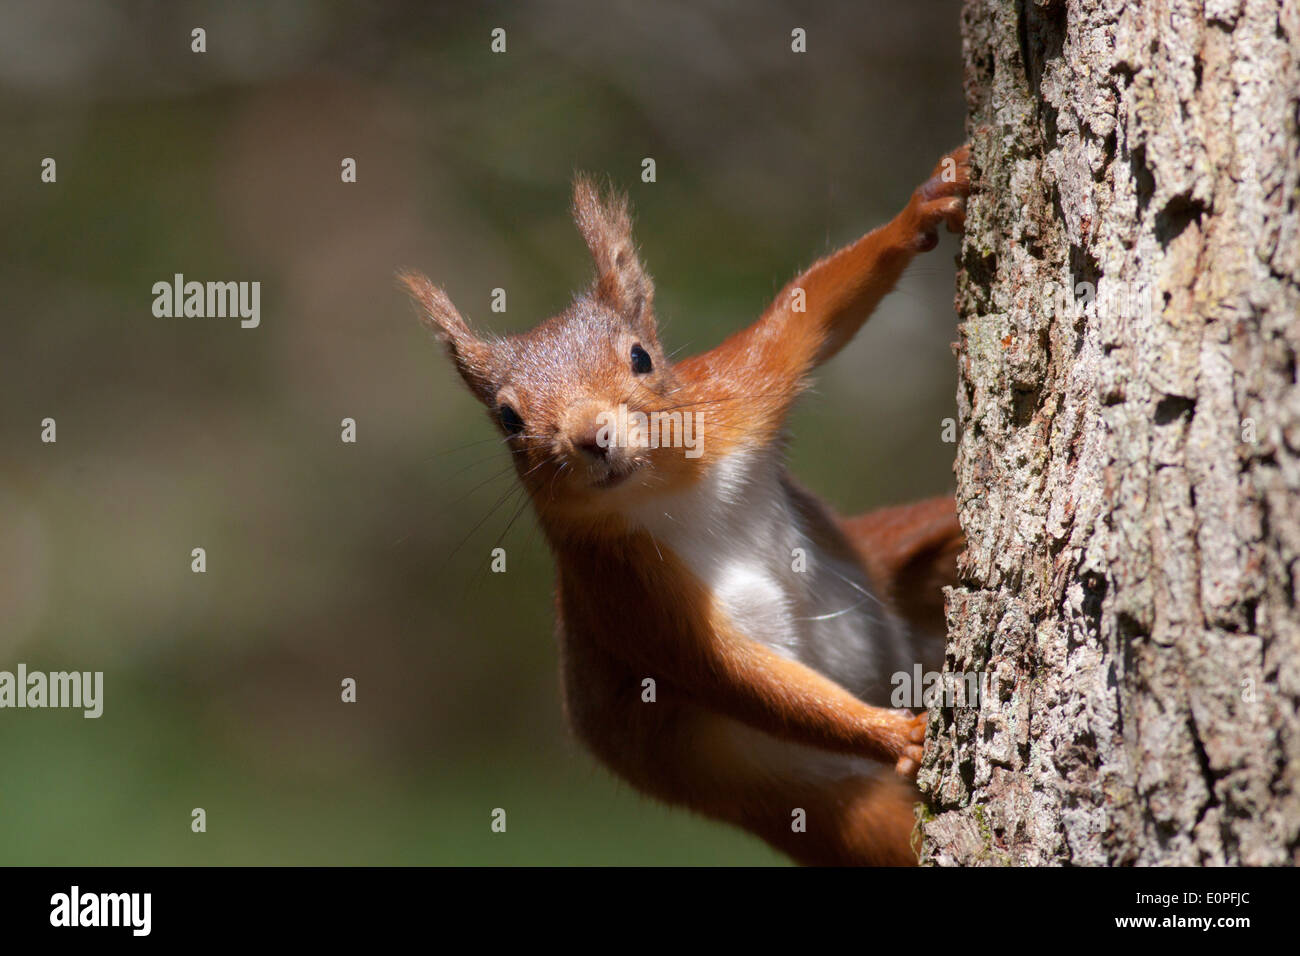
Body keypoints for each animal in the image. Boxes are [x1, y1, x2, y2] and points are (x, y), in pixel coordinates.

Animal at [402, 145, 971, 865]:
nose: (591, 436)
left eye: (642, 358)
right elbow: (729, 675)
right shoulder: (622, 588)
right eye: (508, 418)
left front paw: (925, 203)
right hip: (838, 808)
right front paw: (895, 734)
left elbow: (807, 313)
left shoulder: (737, 394)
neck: (671, 491)